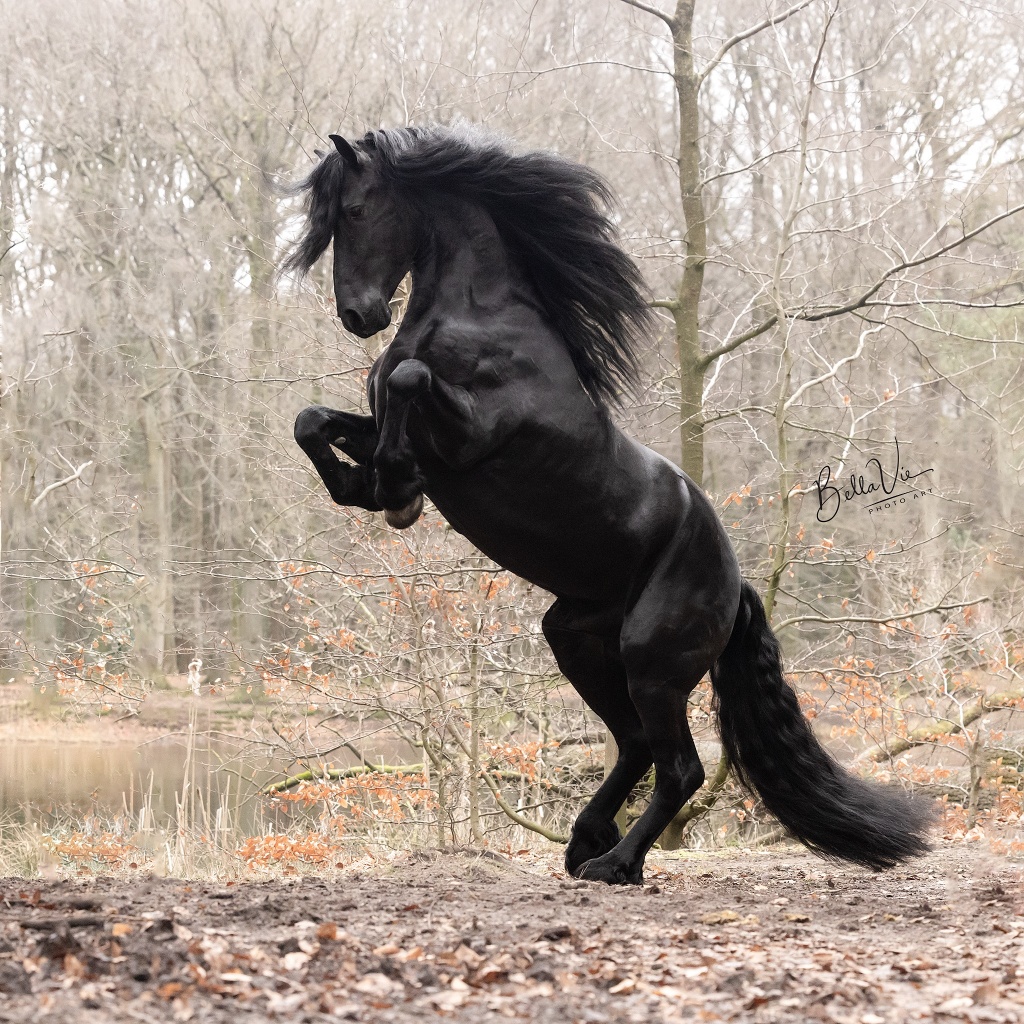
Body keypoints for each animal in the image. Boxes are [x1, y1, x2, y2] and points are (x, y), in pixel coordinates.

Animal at [282, 125, 931, 885]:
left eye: (355, 211)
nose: (359, 317)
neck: (479, 320)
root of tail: (736, 585)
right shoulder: (391, 426)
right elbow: (313, 421)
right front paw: (367, 487)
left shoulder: (469, 437)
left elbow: (407, 381)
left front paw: (395, 490)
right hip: (578, 639)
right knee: (636, 746)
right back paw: (586, 840)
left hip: (652, 660)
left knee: (678, 768)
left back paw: (616, 862)